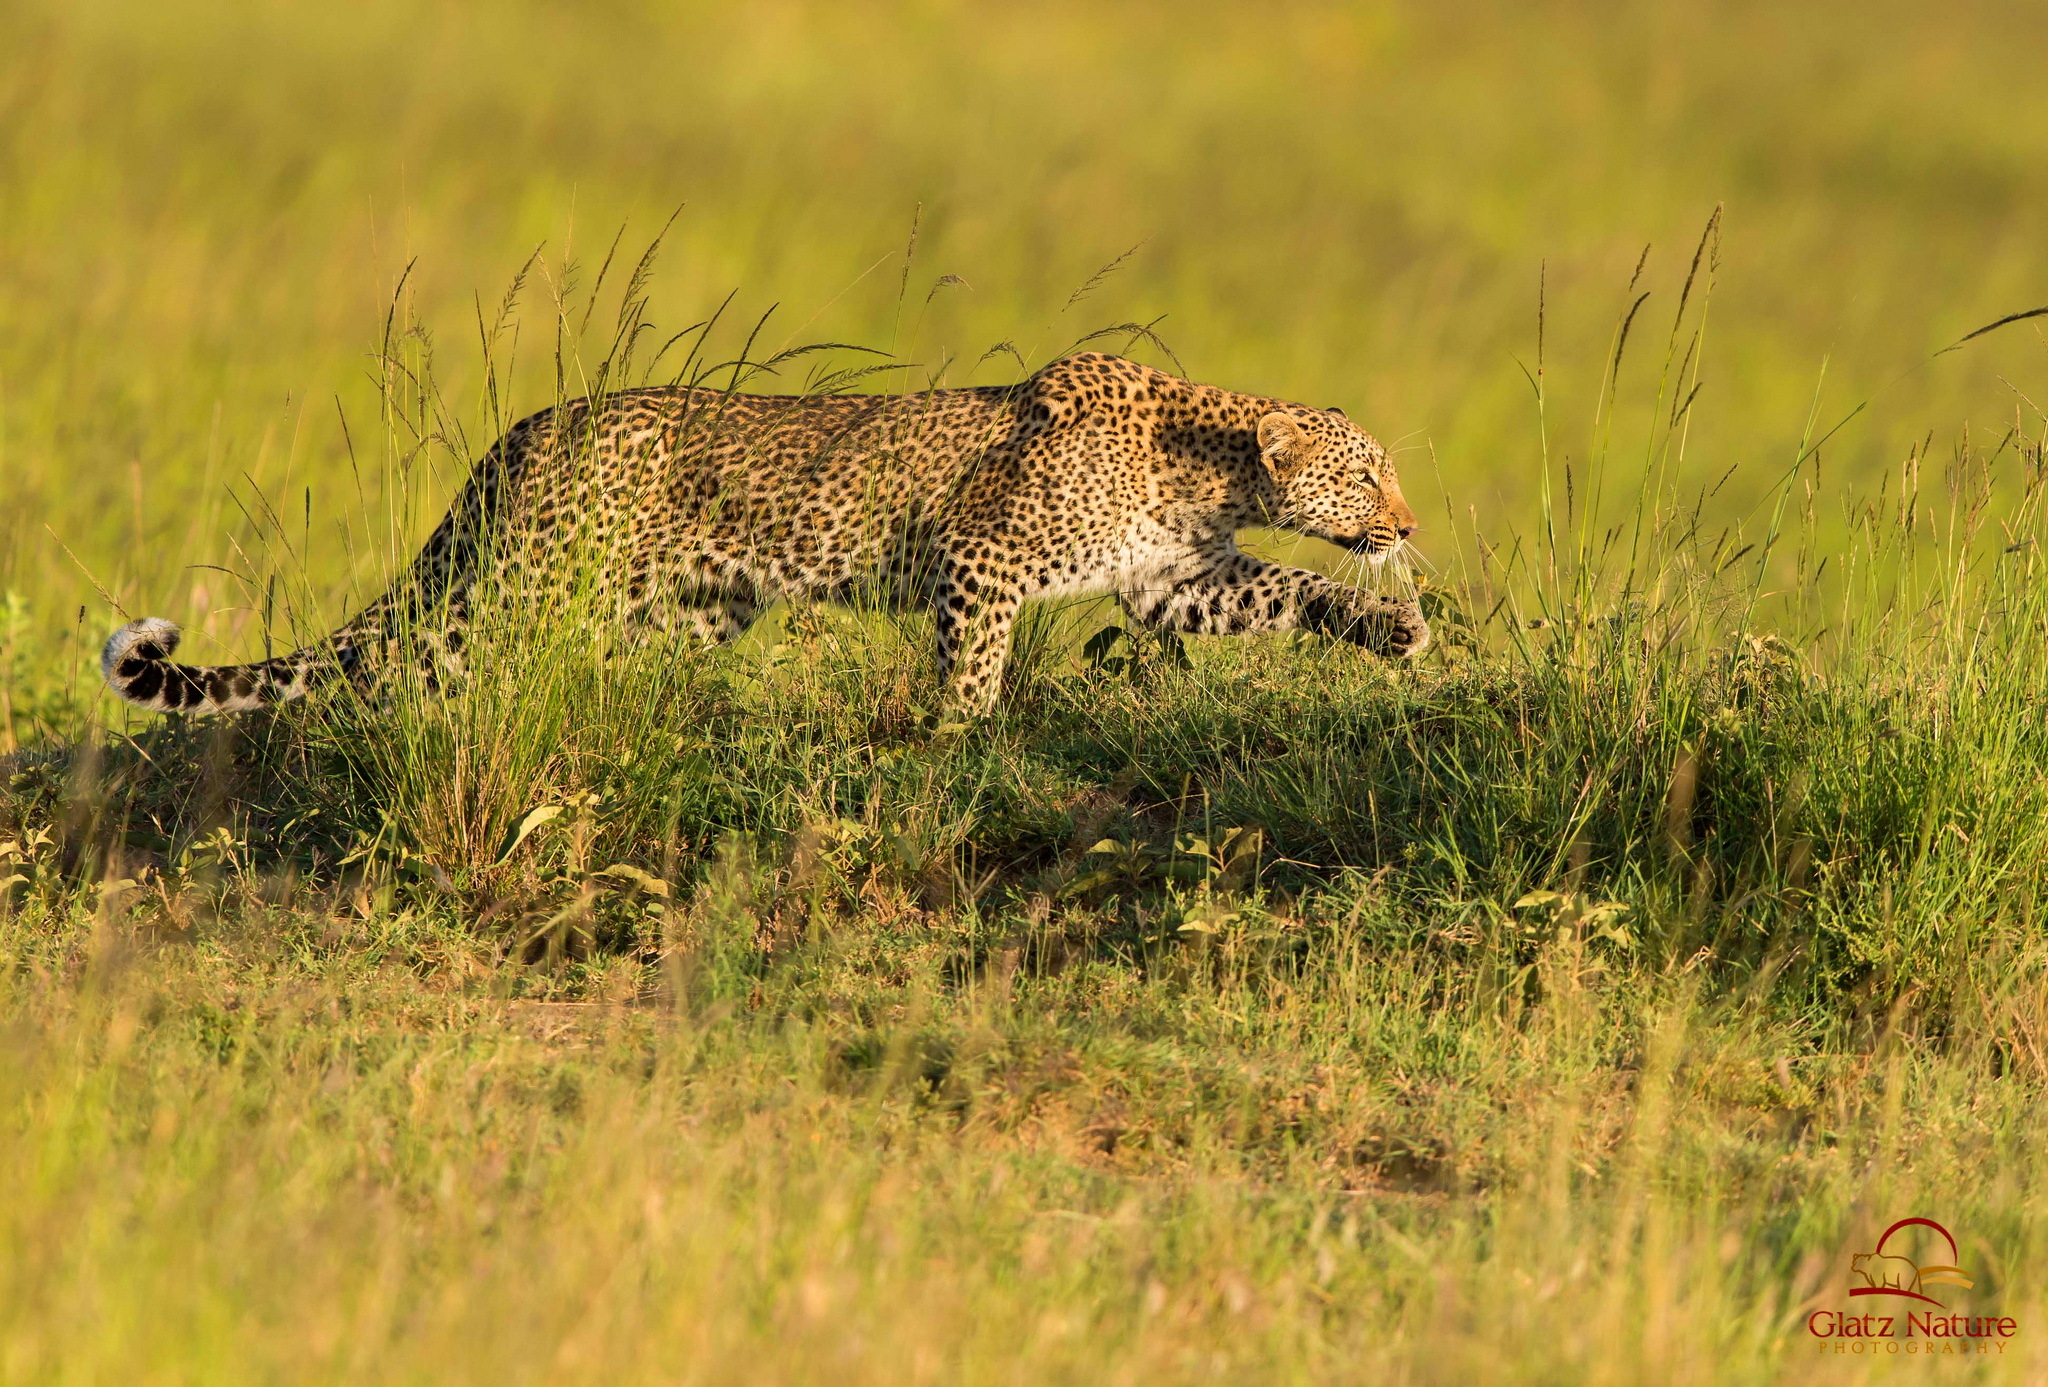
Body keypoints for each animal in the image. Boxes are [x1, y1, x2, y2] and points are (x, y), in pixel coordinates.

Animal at [101, 351, 1429, 718]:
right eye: (1367, 474)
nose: (1407, 520)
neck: (1206, 472)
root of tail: (526, 430)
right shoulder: (982, 560)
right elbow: (974, 665)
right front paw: (960, 735)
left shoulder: (1168, 582)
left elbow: (1285, 594)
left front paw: (1389, 626)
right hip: (521, 589)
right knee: (419, 669)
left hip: (679, 611)